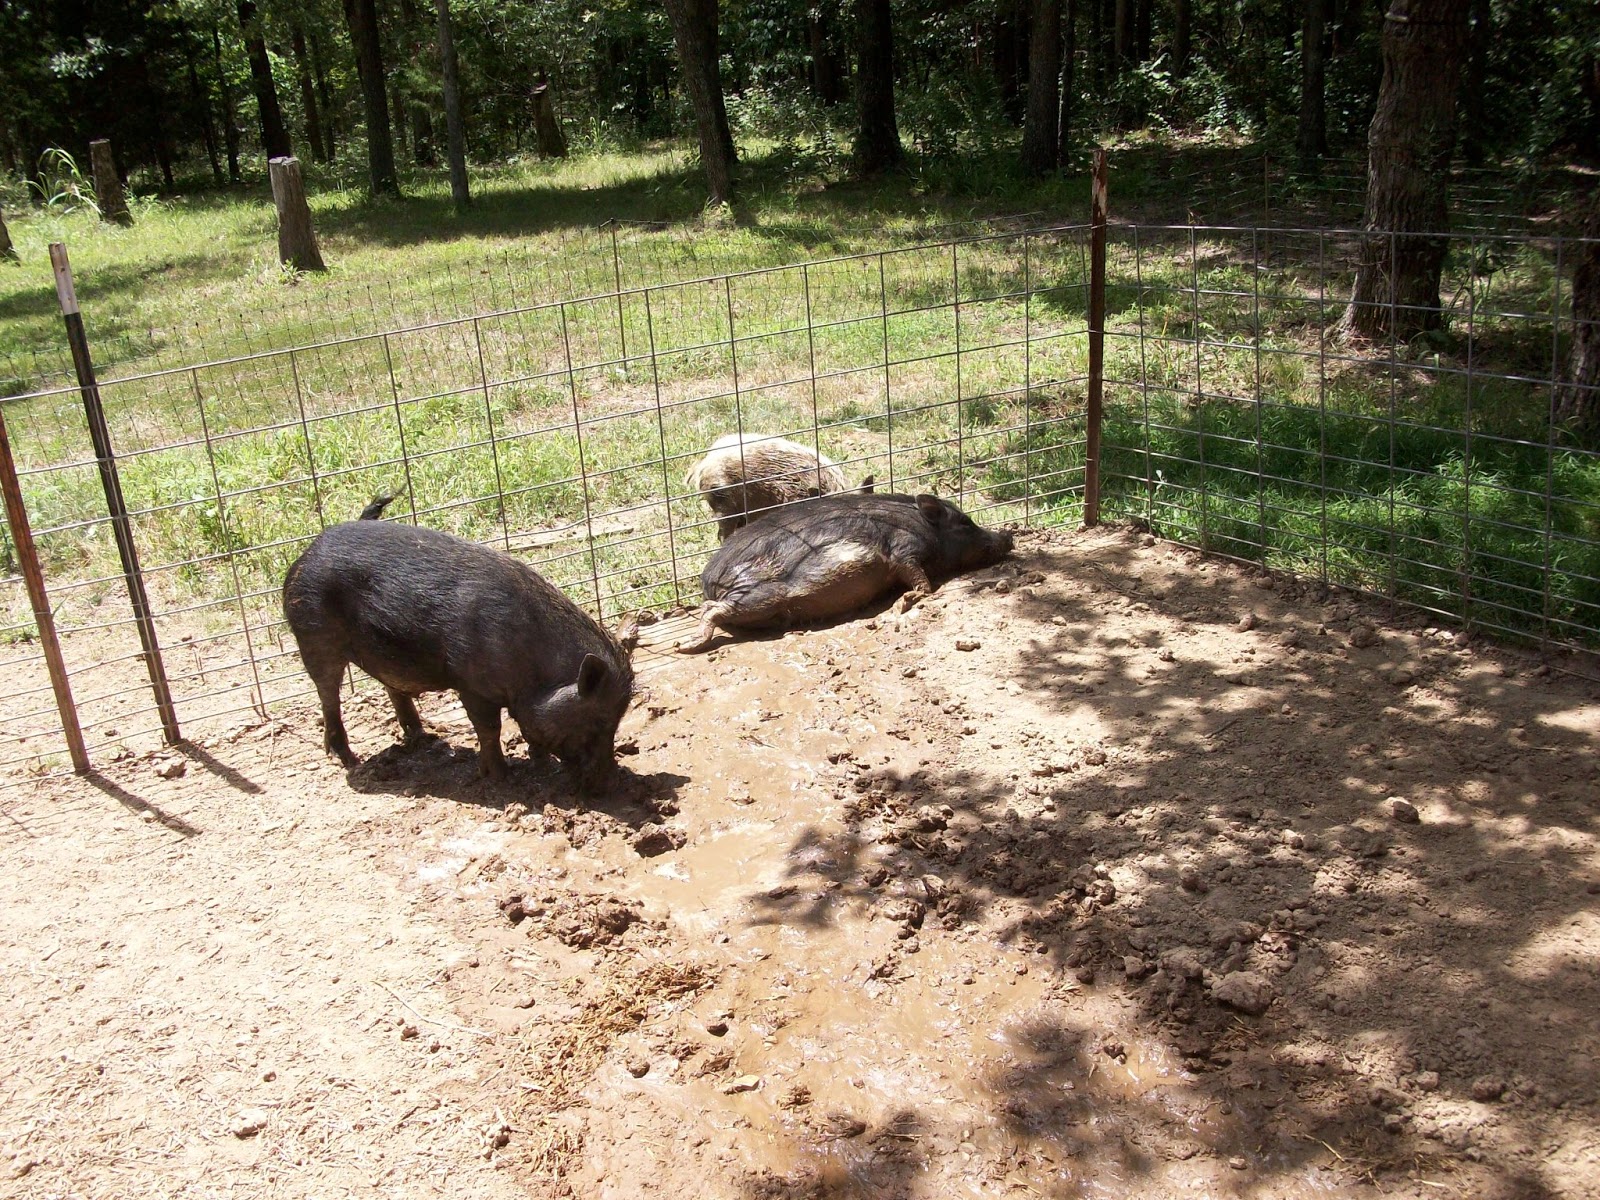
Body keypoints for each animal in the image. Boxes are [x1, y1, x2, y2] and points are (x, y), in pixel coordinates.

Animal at [282, 498, 635, 793]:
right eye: (599, 721)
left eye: (618, 720)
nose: (609, 785)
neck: (534, 667)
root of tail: (310, 549)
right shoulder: (472, 685)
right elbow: (489, 727)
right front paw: (501, 778)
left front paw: (538, 762)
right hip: (313, 634)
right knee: (328, 695)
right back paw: (348, 759)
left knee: (391, 687)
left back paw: (424, 739)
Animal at [675, 491, 1014, 652]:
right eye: (966, 522)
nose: (1008, 536)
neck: (924, 528)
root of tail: (710, 581)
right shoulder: (903, 550)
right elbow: (920, 581)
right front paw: (910, 599)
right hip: (762, 596)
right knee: (714, 611)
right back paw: (685, 647)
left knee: (710, 608)